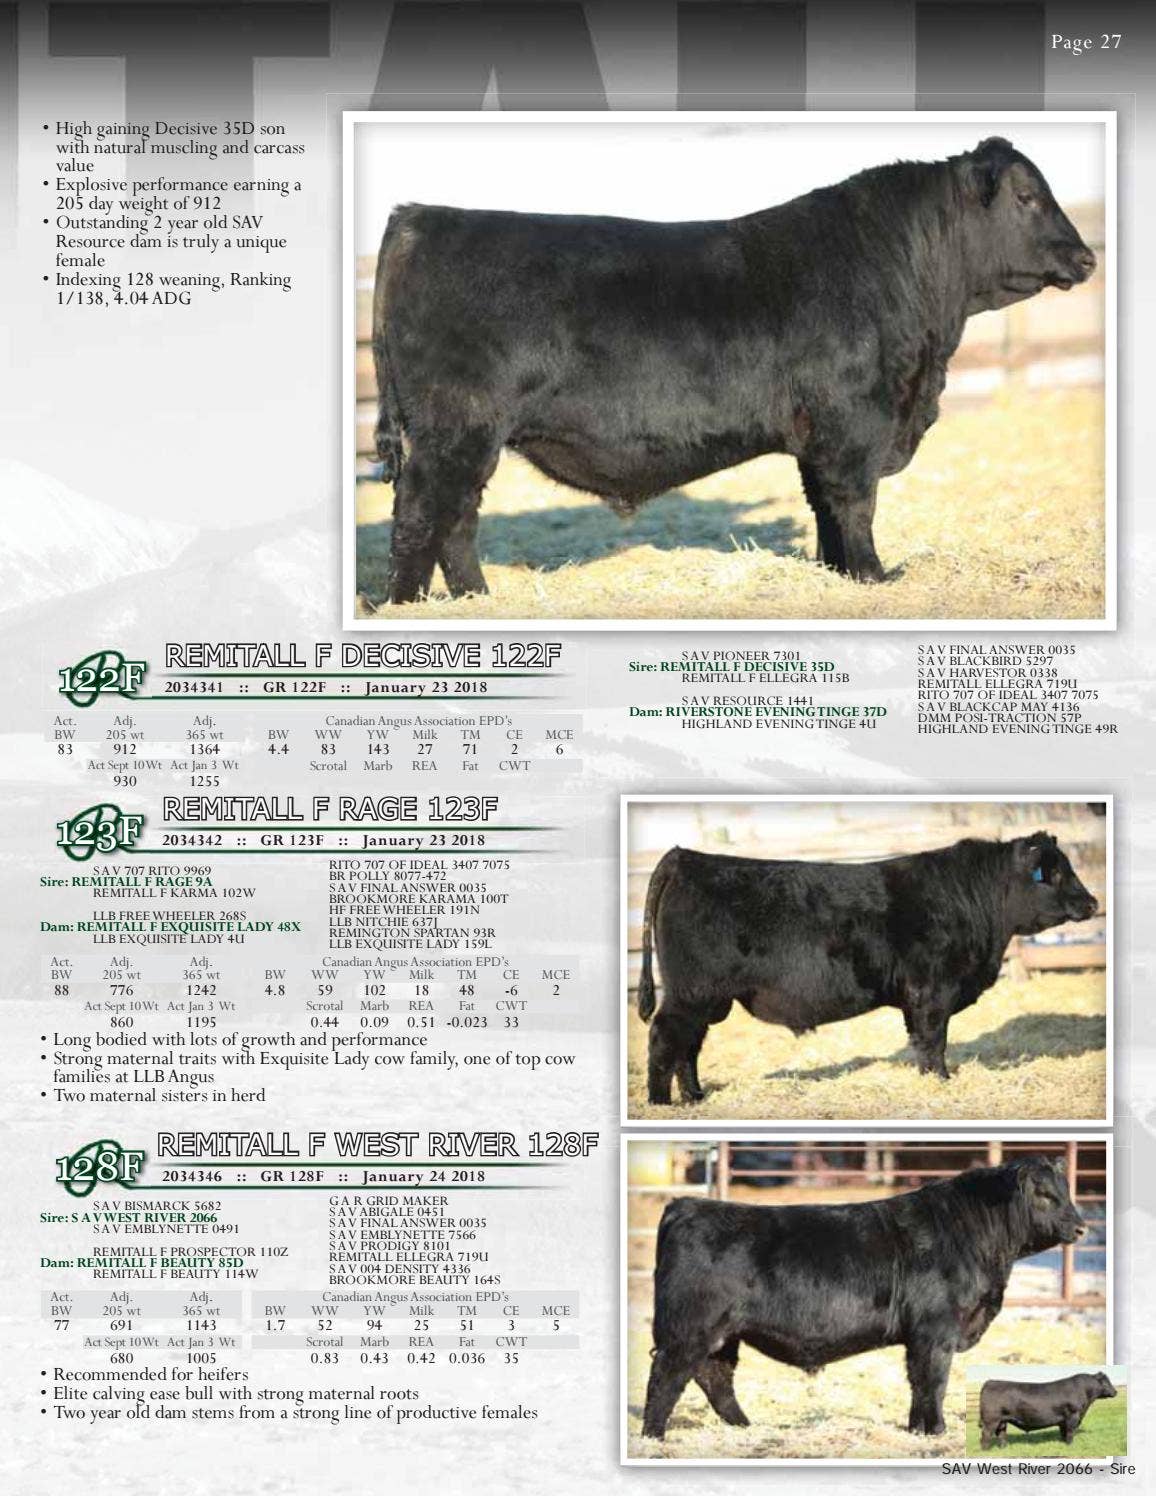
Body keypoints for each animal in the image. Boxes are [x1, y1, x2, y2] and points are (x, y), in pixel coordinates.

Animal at [369, 137, 1095, 605]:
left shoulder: (820, 436)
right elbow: (856, 504)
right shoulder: (856, 423)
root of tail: (418, 218)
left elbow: (825, 507)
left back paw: (477, 599)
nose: (1087, 257)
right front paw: (875, 575)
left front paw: (838, 574)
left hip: (469, 440)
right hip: (453, 431)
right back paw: (407, 605)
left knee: (458, 519)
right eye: (1027, 196)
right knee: (420, 517)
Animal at [636, 830, 1099, 1104]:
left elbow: (921, 1039)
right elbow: (934, 1039)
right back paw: (661, 1102)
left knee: (688, 1046)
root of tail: (685, 857)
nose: (1093, 902)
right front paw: (941, 1081)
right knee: (665, 1038)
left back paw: (695, 1096)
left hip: (706, 999)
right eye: (1056, 874)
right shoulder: (933, 989)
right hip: (693, 992)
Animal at [641, 1156, 1086, 1441]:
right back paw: (653, 1437)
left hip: (723, 1334)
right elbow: (934, 1382)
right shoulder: (935, 1331)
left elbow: (918, 1383)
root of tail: (686, 1205)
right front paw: (937, 1432)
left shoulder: (922, 1337)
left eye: (1066, 1190)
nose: (1080, 1227)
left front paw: (917, 1430)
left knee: (714, 1377)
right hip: (689, 1329)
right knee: (667, 1377)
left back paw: (745, 1427)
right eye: (1043, 1193)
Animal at [979, 1371, 1117, 1448]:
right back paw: (986, 1450)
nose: (1115, 1392)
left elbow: (1063, 1432)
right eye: (1106, 1382)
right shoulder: (1073, 1415)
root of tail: (990, 1382)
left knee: (1001, 1434)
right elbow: (1070, 1431)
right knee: (986, 1434)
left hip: (1002, 1420)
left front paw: (1063, 1442)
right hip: (991, 1419)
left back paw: (1004, 1447)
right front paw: (1070, 1445)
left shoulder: (1063, 1420)